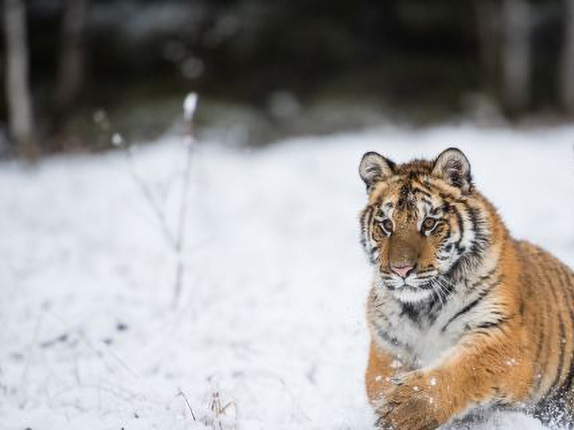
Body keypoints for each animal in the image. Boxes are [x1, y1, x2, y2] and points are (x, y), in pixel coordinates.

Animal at [360, 149, 574, 430]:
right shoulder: (388, 346)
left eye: (429, 223)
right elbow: (379, 384)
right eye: (386, 225)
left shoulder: (505, 335)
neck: (423, 308)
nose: (401, 270)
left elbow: (463, 369)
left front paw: (406, 408)